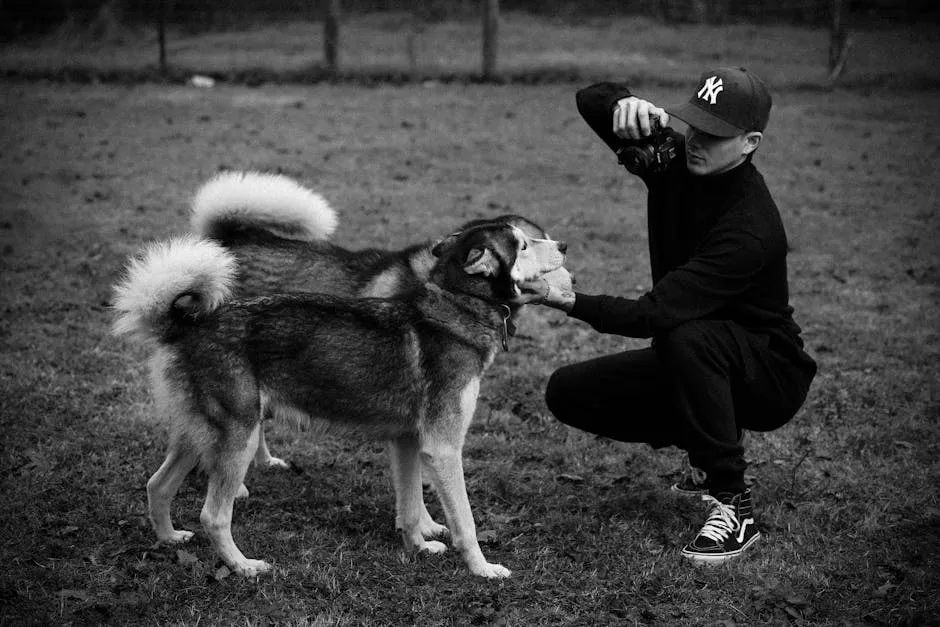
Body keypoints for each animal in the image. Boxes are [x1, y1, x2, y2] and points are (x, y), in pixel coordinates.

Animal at [110, 221, 564, 580]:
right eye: (523, 244)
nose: (564, 246)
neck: (455, 306)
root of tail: (187, 323)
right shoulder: (444, 448)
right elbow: (464, 522)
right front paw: (482, 569)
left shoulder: (407, 443)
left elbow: (410, 505)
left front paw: (418, 547)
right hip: (239, 438)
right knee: (213, 516)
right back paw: (243, 567)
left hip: (200, 435)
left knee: (157, 485)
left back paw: (169, 539)